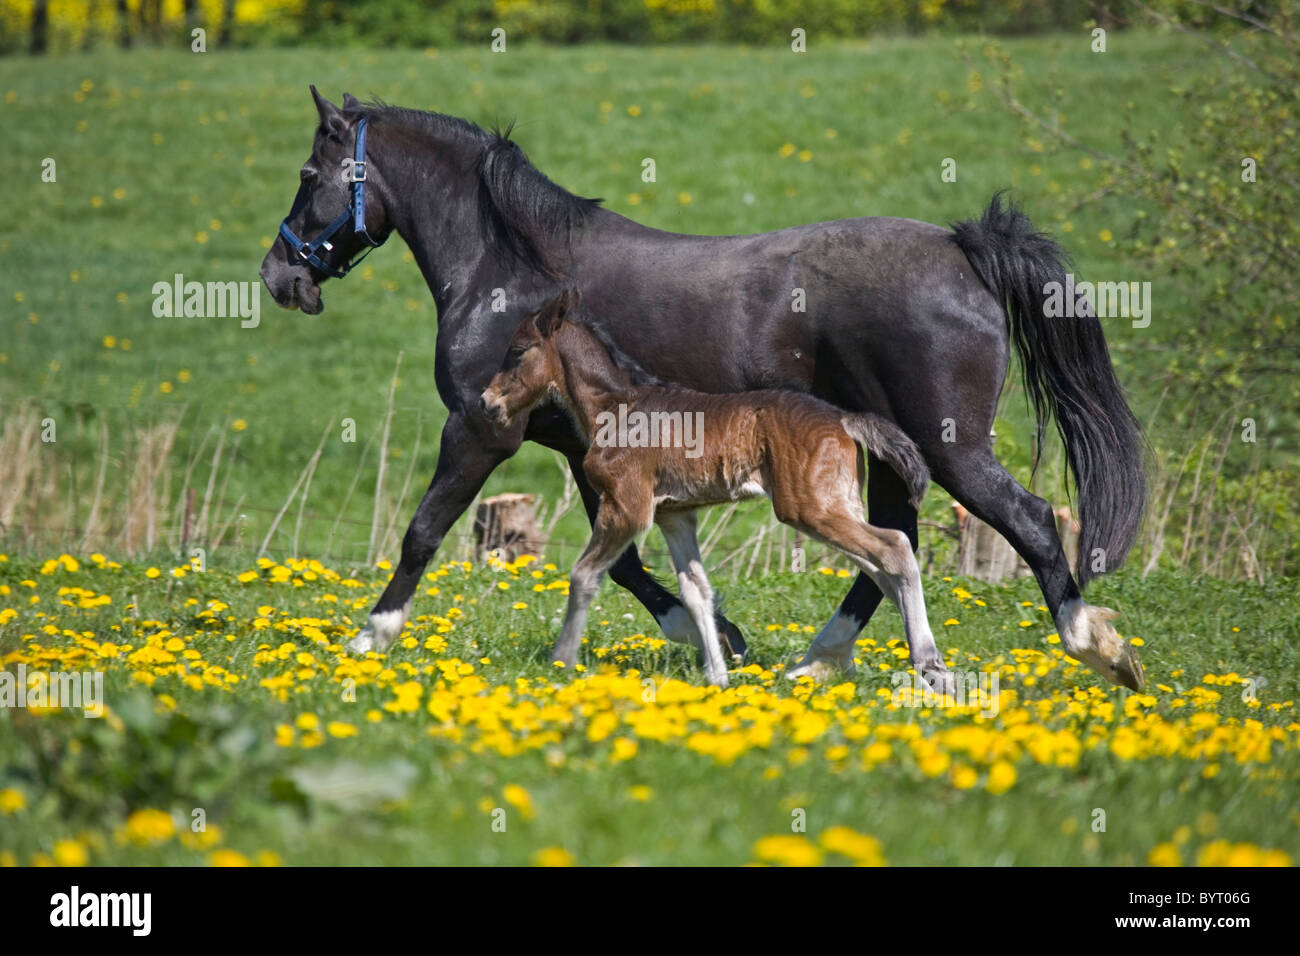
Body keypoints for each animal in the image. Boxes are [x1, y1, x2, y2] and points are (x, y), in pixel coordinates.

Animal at [481, 289, 937, 688]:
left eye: (518, 350)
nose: (488, 402)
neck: (616, 408)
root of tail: (846, 419)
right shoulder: (675, 516)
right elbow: (696, 591)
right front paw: (718, 676)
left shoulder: (627, 508)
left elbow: (583, 575)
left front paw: (561, 661)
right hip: (838, 503)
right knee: (881, 567)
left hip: (808, 507)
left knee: (894, 547)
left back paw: (931, 669)